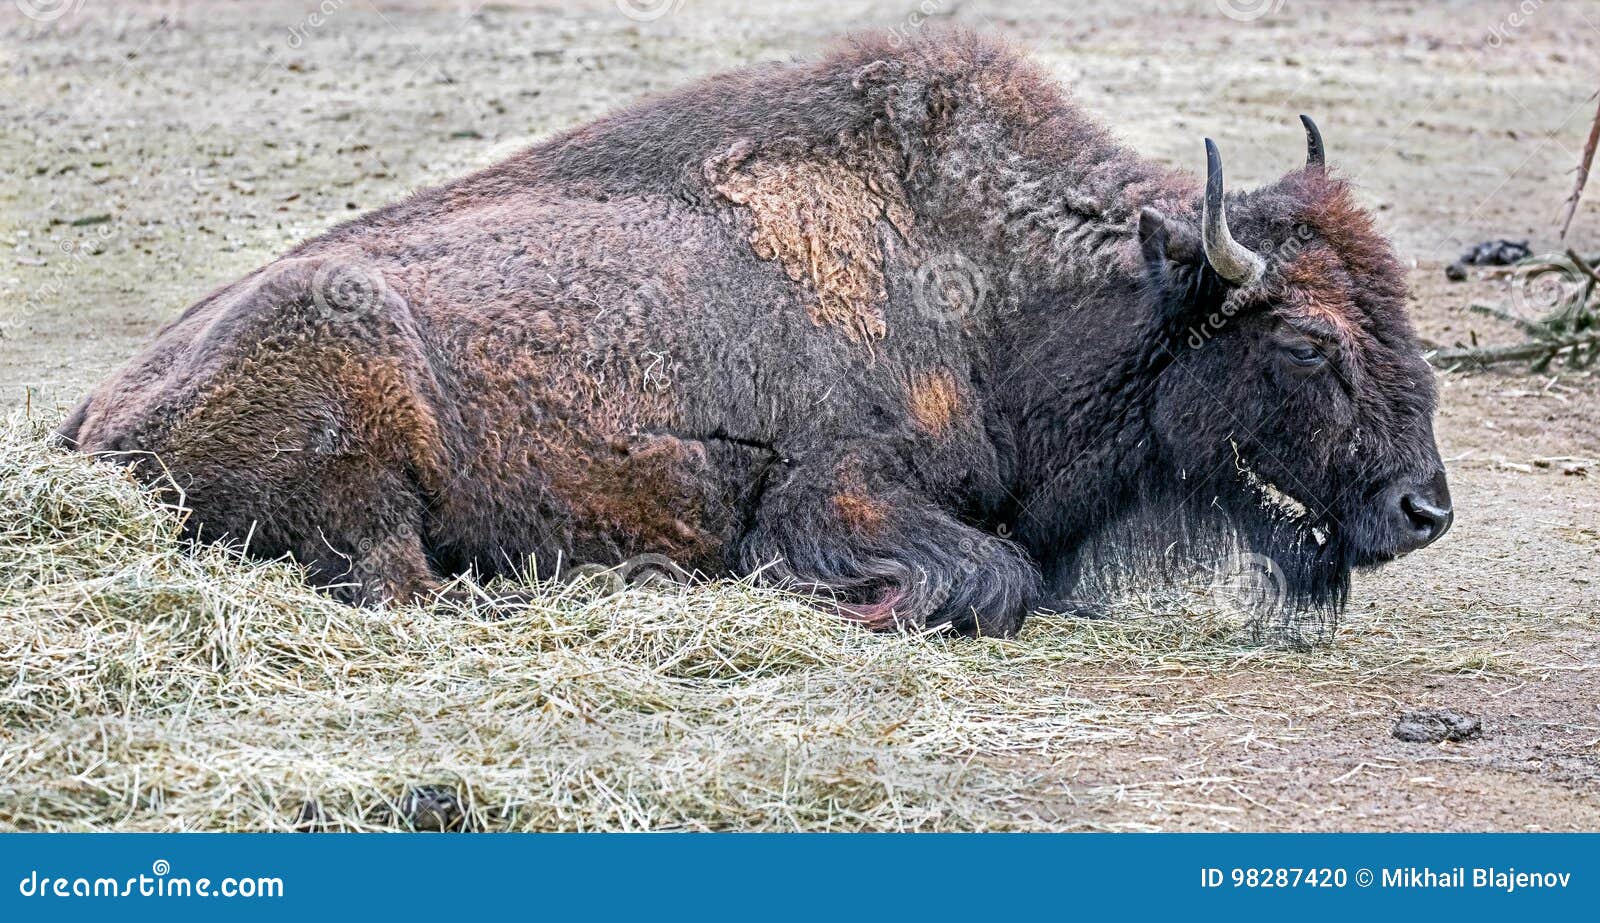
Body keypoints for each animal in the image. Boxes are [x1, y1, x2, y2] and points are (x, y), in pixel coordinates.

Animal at [61, 31, 1452, 637]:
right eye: (1306, 345)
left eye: (1397, 314)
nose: (1424, 509)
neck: (990, 290)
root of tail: (89, 418)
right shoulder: (841, 491)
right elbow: (986, 577)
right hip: (349, 391)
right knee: (403, 582)